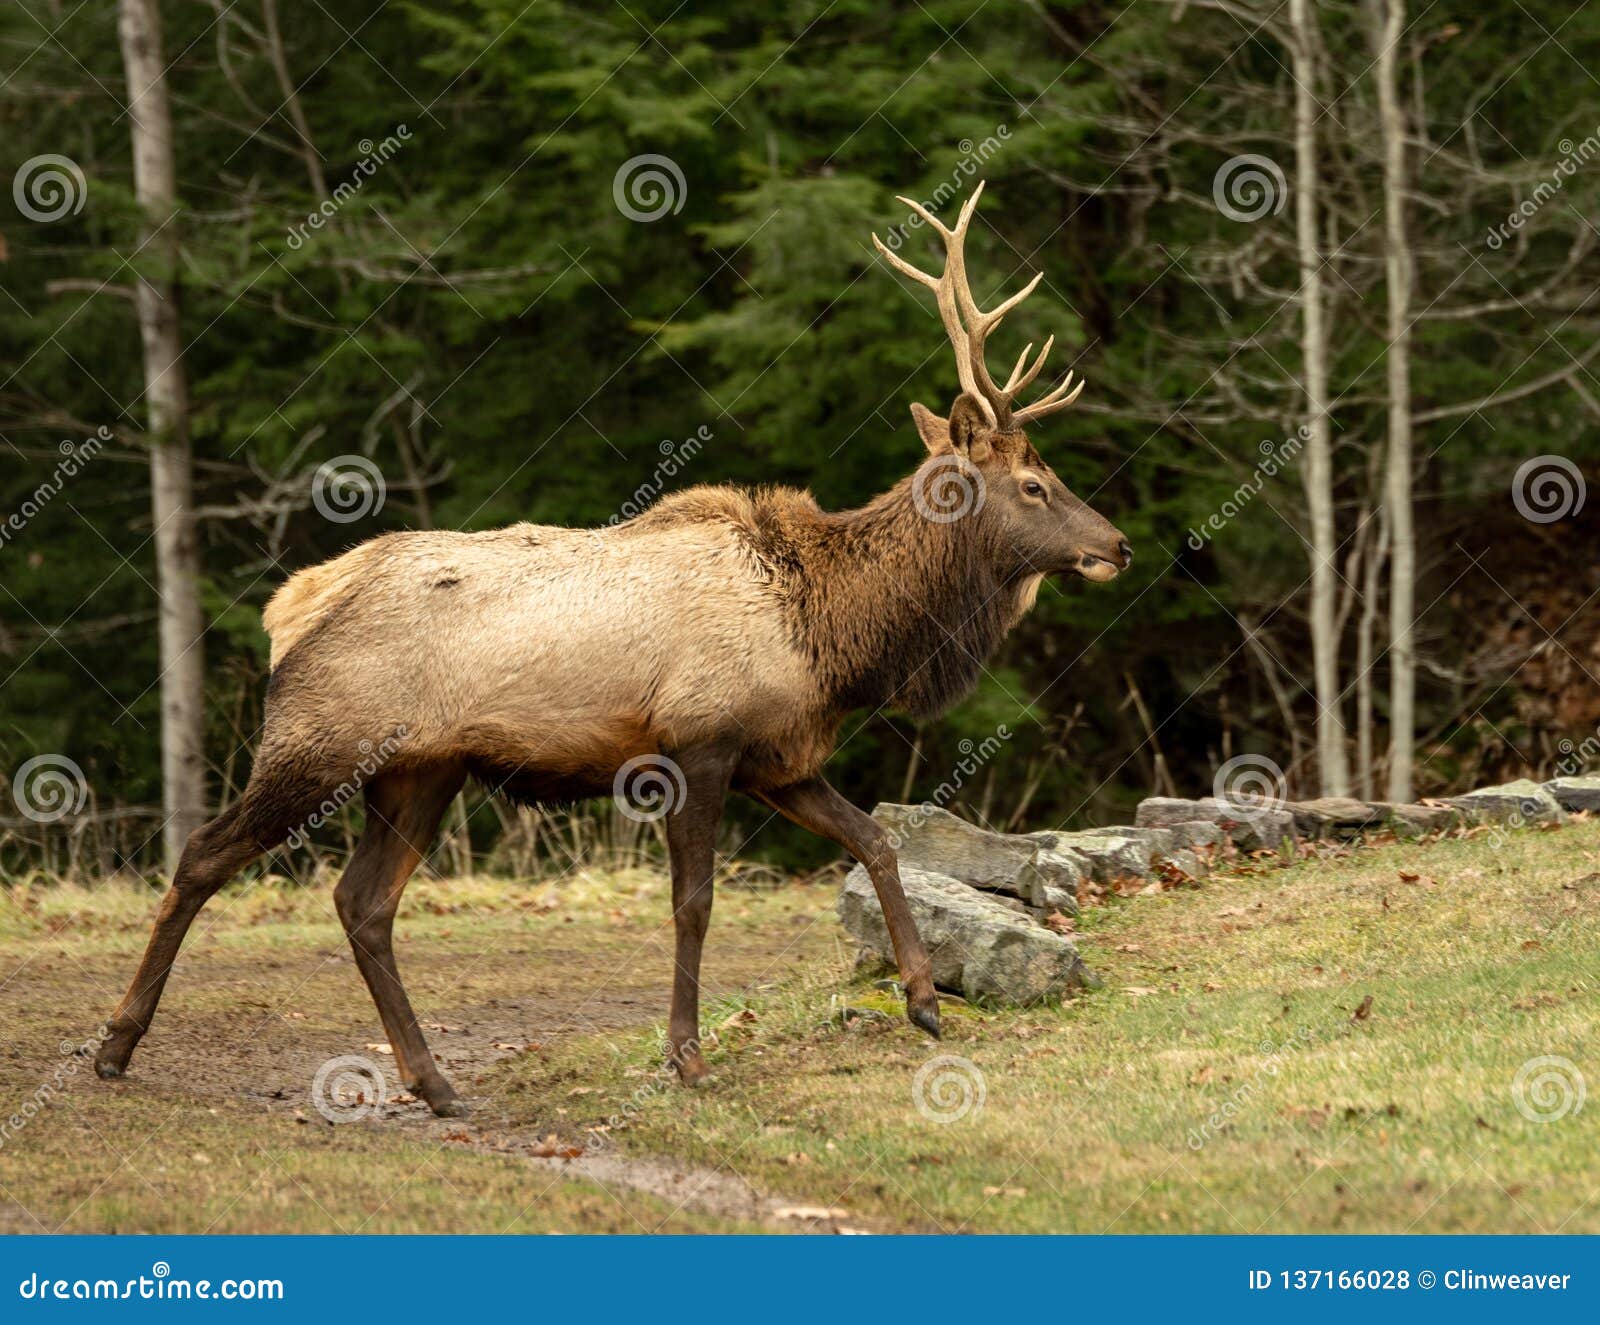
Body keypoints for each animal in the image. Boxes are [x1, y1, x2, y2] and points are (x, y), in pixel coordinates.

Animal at [94, 182, 1131, 1117]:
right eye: (1035, 484)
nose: (1117, 544)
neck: (832, 635)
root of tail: (289, 608)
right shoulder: (697, 738)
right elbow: (695, 902)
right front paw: (689, 1057)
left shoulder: (778, 756)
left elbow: (877, 839)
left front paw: (923, 1000)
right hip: (318, 740)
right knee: (204, 854)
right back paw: (115, 1044)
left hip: (420, 769)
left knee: (363, 902)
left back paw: (437, 1084)